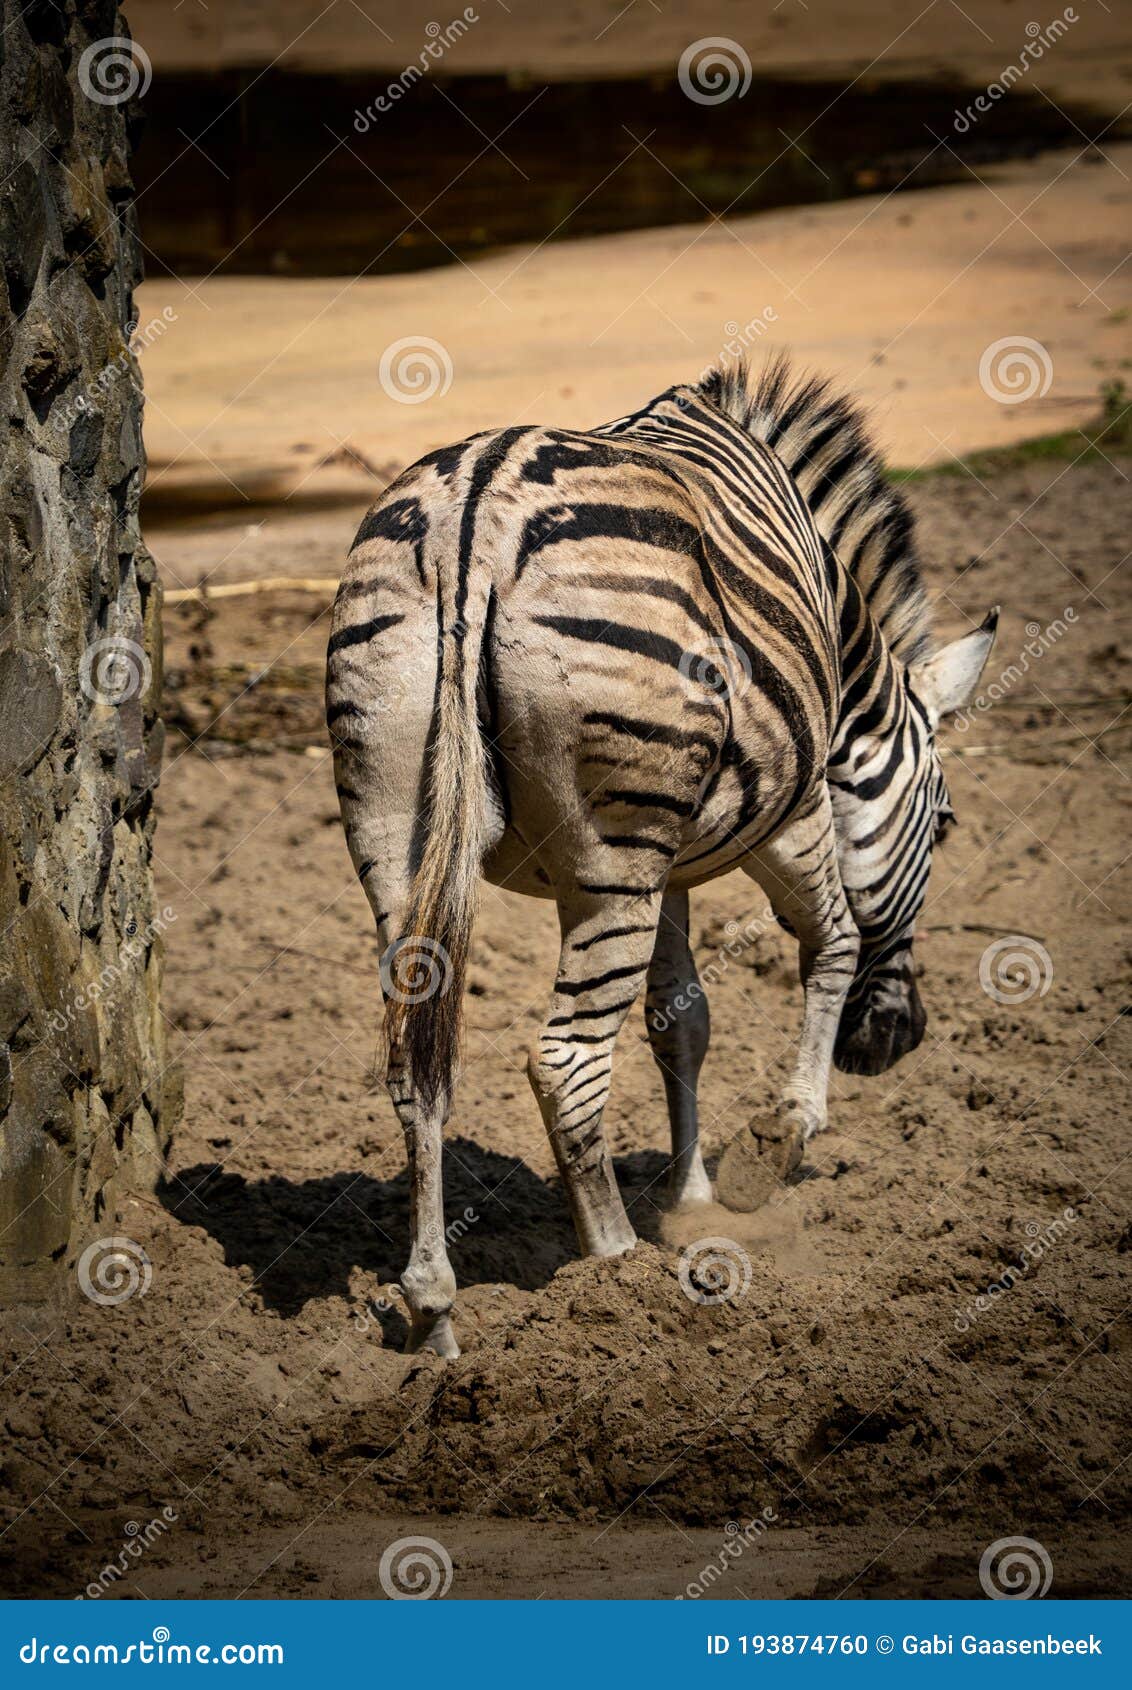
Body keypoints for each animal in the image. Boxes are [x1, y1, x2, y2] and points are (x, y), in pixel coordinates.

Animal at [326, 355, 998, 1357]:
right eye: (946, 822)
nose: (894, 1044)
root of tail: (471, 519)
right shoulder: (794, 809)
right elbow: (835, 942)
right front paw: (777, 1141)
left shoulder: (673, 867)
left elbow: (681, 1021)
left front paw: (694, 1196)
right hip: (614, 861)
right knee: (565, 1063)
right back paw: (614, 1268)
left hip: (399, 830)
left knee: (417, 1061)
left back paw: (435, 1311)